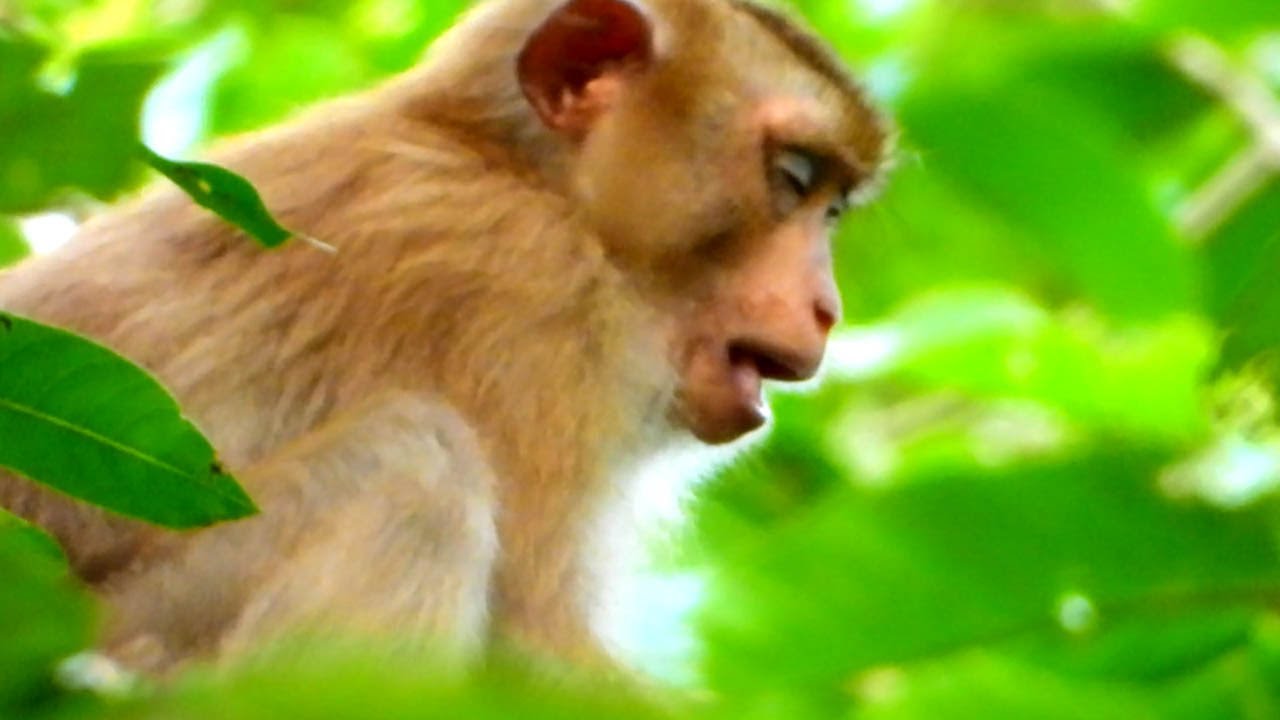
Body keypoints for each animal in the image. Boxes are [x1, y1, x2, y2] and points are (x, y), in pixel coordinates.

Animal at [0, 0, 889, 671]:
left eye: (834, 209)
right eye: (795, 178)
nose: (827, 307)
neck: (510, 167)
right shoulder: (526, 297)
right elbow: (532, 644)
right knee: (415, 467)